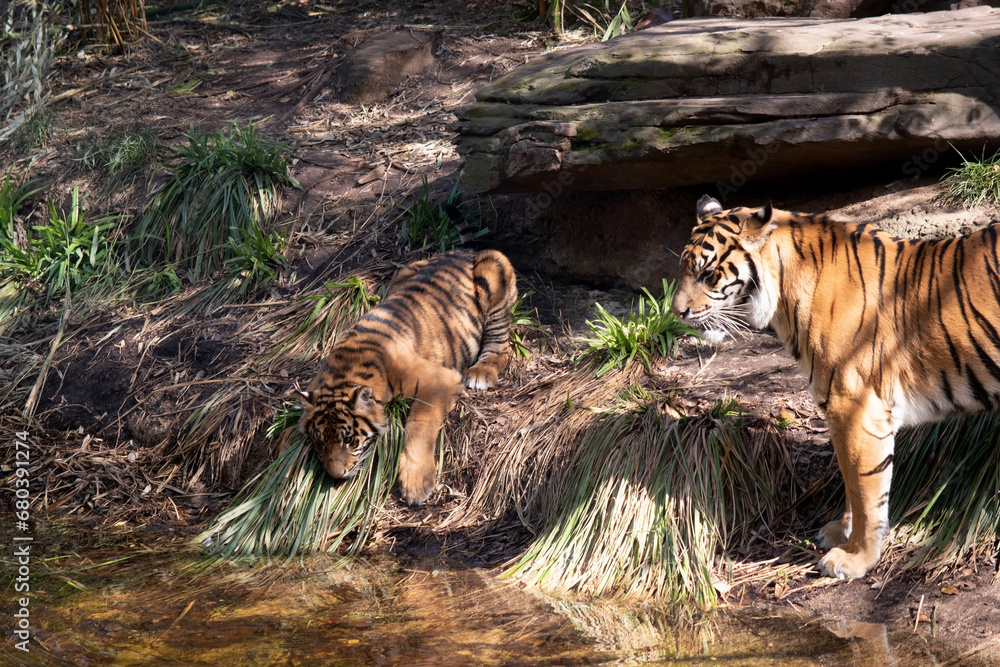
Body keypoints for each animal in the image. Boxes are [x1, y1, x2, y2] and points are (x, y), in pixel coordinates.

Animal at [297, 248, 518, 506]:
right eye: (320, 443)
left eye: (350, 441)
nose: (336, 475)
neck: (345, 370)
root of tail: (466, 251)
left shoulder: (439, 380)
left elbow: (419, 425)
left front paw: (415, 483)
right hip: (404, 272)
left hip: (494, 267)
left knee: (501, 346)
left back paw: (480, 373)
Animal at [673, 194, 1000, 579]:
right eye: (683, 269)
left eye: (708, 274)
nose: (675, 312)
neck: (784, 295)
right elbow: (852, 479)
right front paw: (840, 532)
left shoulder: (855, 407)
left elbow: (865, 489)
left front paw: (856, 557)